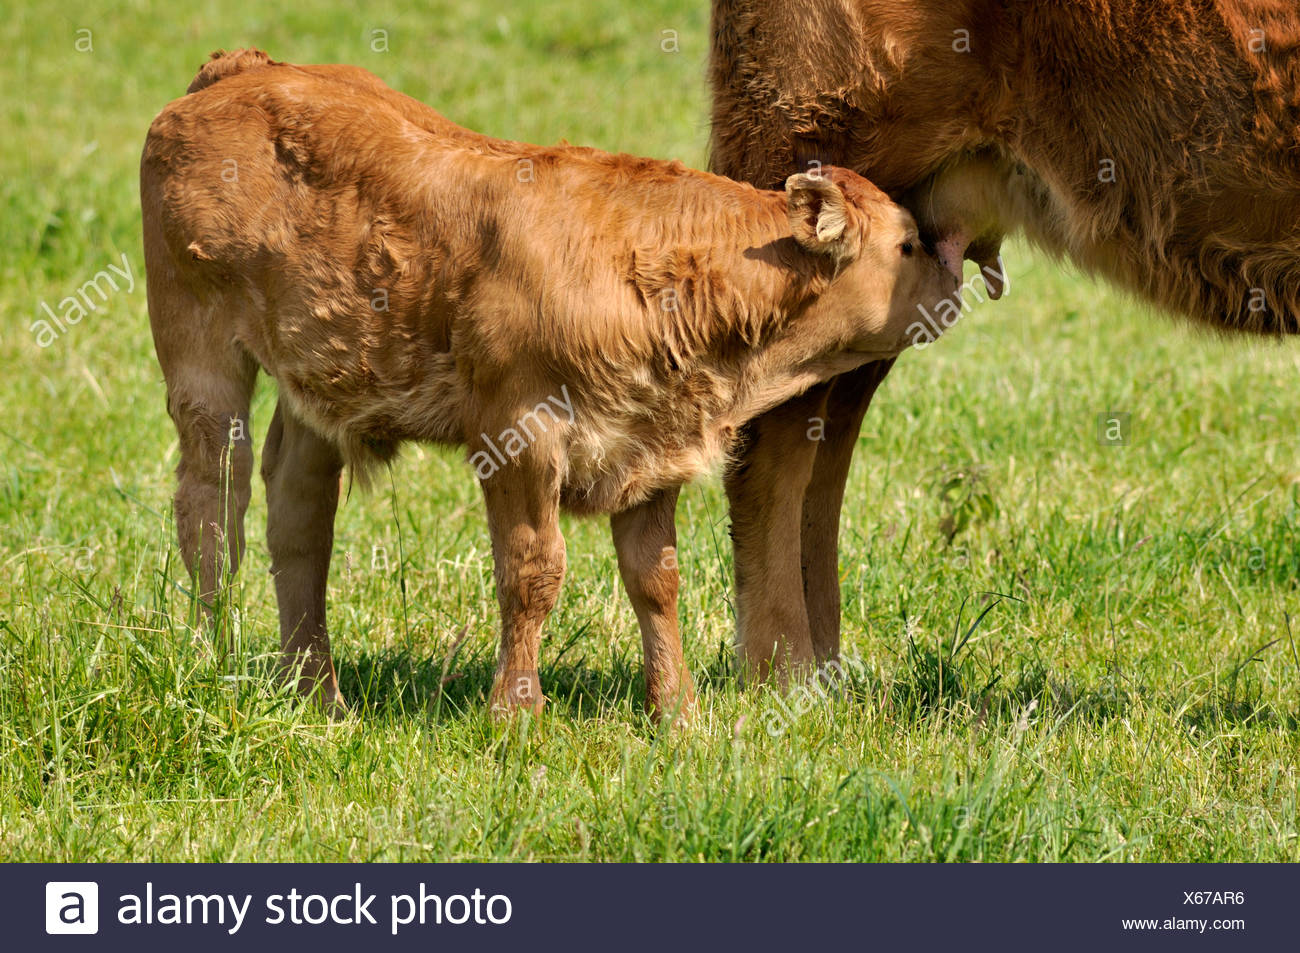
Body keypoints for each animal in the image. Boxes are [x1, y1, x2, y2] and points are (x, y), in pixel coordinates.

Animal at [141, 50, 957, 718]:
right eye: (906, 243)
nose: (953, 281)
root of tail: (240, 71)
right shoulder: (518, 438)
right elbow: (532, 573)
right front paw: (516, 712)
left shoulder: (648, 448)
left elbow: (656, 581)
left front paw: (678, 715)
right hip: (200, 358)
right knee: (211, 509)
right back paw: (216, 658)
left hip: (317, 384)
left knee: (299, 514)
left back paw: (318, 694)